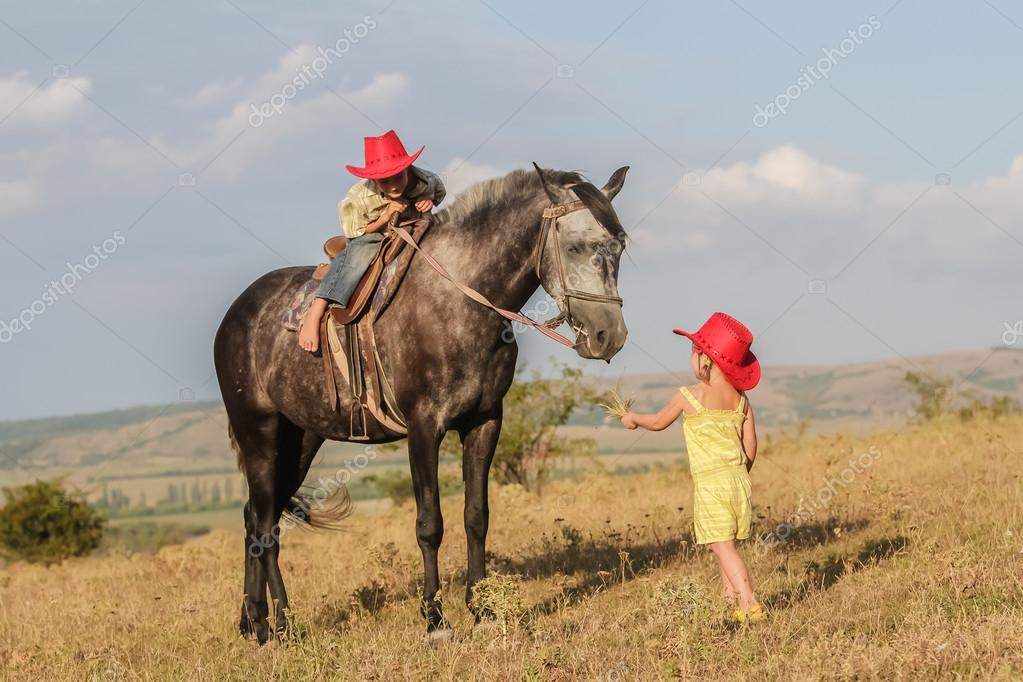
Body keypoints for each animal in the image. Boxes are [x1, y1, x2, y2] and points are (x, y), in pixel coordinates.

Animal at [213, 164, 630, 643]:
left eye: (619, 247)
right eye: (576, 246)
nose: (609, 336)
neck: (460, 300)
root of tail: (235, 314)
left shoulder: (485, 422)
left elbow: (476, 516)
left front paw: (482, 608)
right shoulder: (424, 428)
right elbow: (430, 524)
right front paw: (435, 620)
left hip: (300, 439)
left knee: (256, 518)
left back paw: (255, 620)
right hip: (259, 434)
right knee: (264, 525)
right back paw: (280, 623)